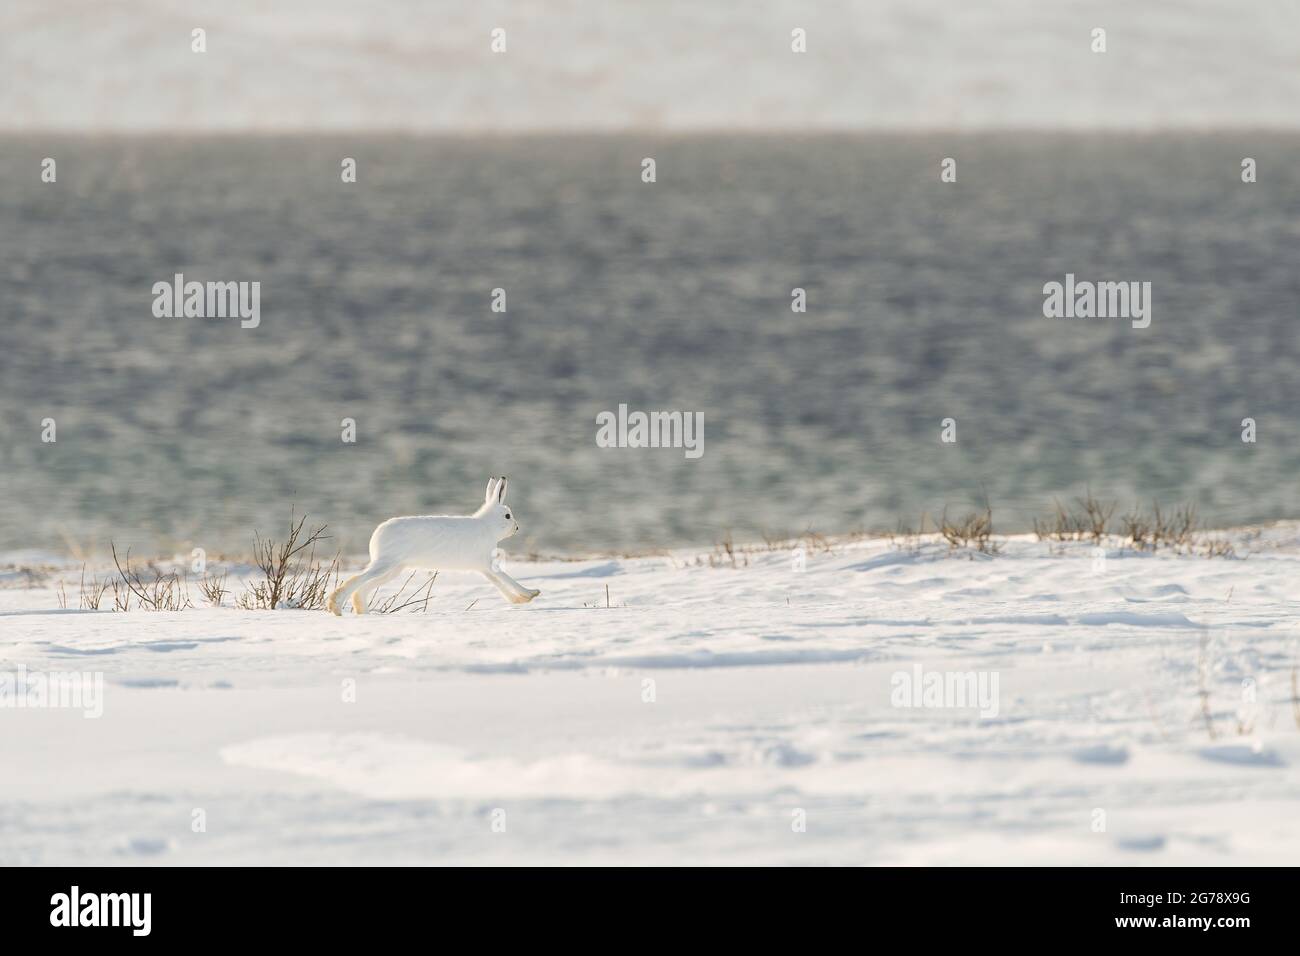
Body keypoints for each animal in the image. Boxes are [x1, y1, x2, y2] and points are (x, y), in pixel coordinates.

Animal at [327, 476, 540, 616]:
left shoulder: (484, 568)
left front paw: (519, 600)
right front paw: (531, 593)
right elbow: (507, 579)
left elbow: (499, 584)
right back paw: (335, 607)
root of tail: (376, 535)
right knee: (358, 580)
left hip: (394, 569)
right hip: (386, 563)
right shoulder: (489, 564)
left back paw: (363, 612)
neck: (488, 526)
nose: (517, 527)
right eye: (507, 516)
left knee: (364, 586)